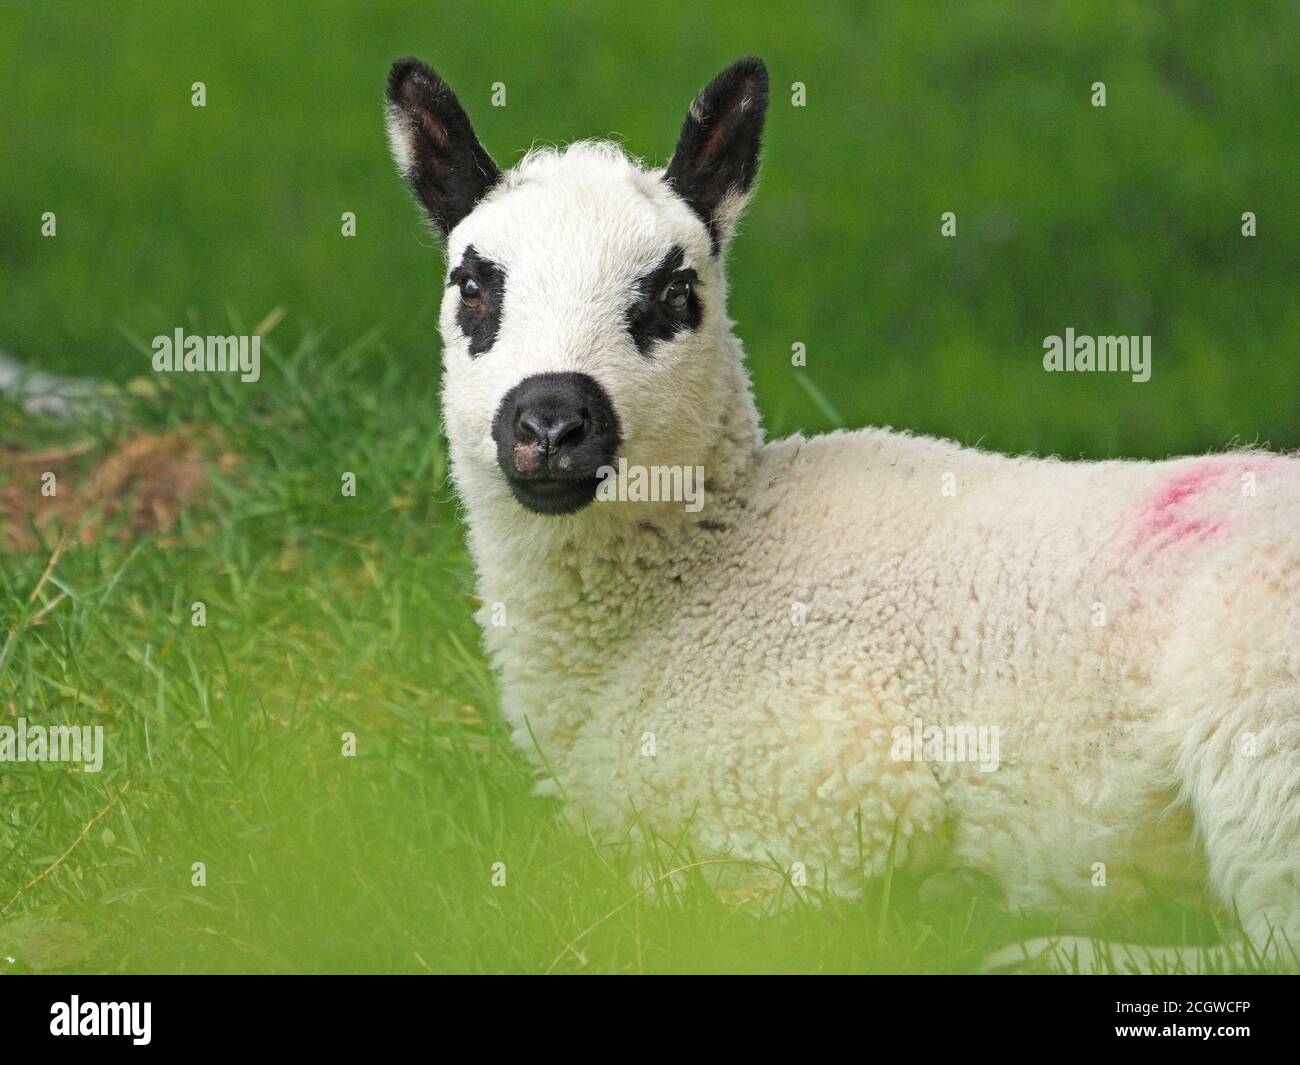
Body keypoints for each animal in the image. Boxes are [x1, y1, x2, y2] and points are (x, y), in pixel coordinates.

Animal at [385, 55, 1300, 972]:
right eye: (474, 286)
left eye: (675, 293)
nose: (549, 424)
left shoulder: (832, 792)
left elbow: (658, 904)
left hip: (1257, 713)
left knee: (1269, 939)